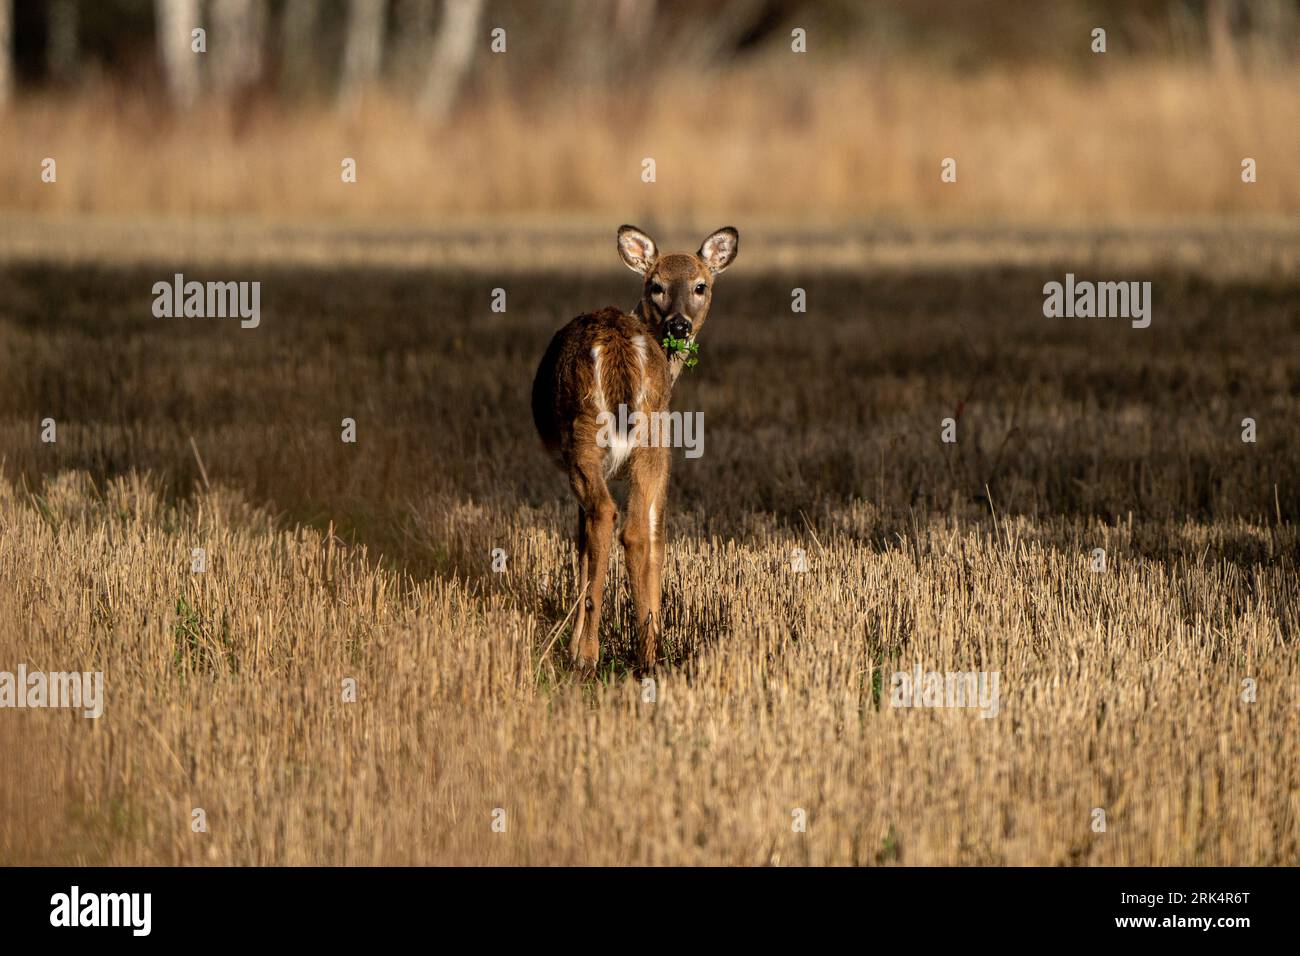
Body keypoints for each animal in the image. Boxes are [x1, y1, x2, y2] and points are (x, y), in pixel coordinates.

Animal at [531, 225, 739, 674]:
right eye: (655, 285)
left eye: (700, 286)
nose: (679, 325)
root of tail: (619, 348)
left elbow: (581, 546)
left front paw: (574, 644)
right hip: (653, 436)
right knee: (636, 530)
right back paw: (646, 653)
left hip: (588, 435)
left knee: (607, 515)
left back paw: (588, 654)